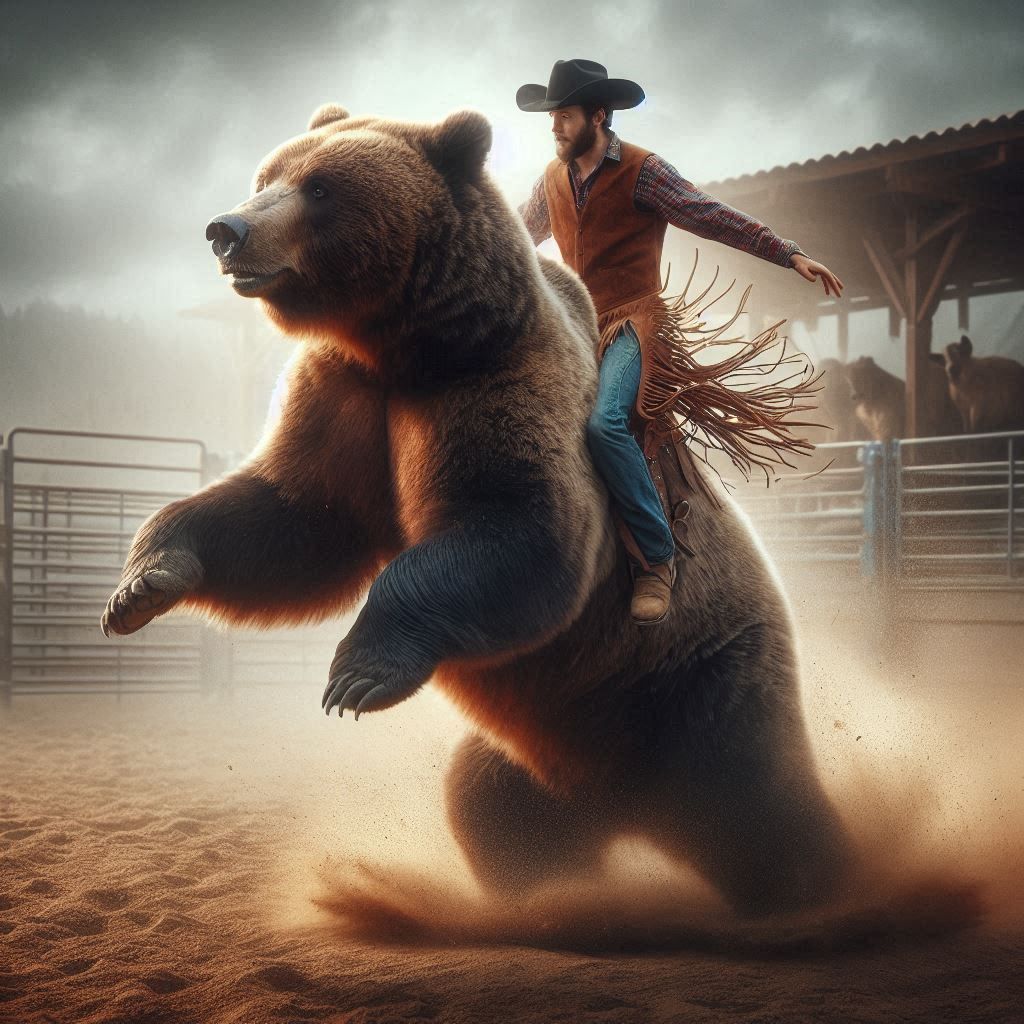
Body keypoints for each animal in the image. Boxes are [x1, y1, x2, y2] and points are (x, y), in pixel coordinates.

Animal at [101, 104, 852, 916]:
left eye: (321, 188)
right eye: (268, 175)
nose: (227, 229)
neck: (407, 347)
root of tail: (628, 809)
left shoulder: (495, 385)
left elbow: (522, 533)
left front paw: (357, 674)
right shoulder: (344, 401)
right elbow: (293, 519)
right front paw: (143, 583)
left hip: (693, 677)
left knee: (753, 799)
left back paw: (824, 883)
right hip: (557, 744)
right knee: (490, 805)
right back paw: (541, 892)